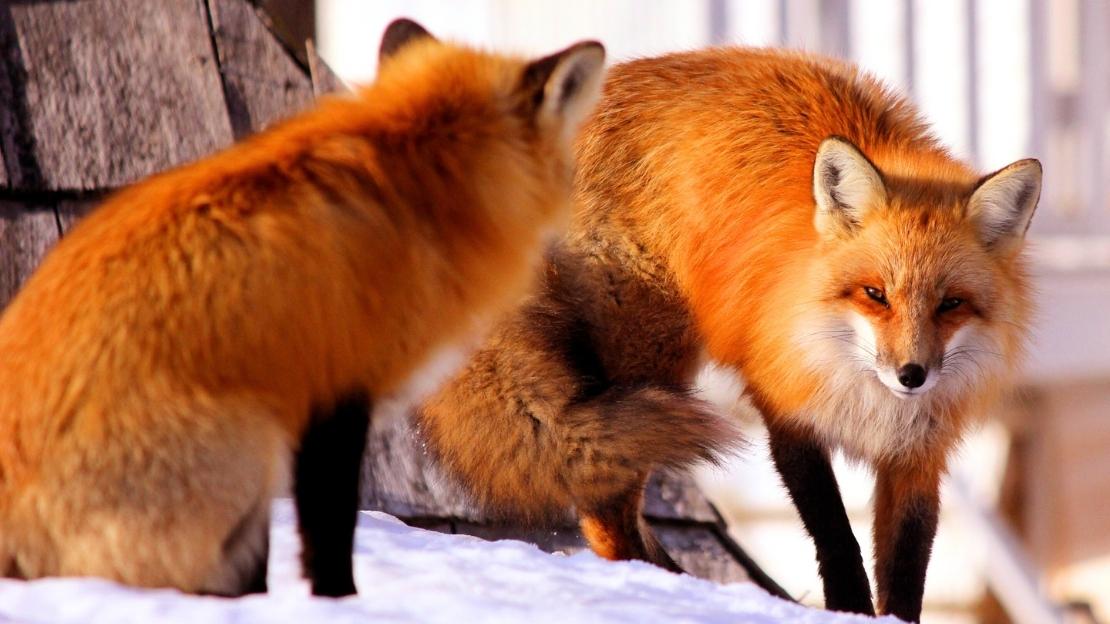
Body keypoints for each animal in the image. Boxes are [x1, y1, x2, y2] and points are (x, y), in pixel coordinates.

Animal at [0, 19, 605, 598]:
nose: (572, 199)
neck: (414, 193)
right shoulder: (336, 391)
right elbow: (330, 536)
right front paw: (341, 604)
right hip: (247, 448)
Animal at [420, 47, 1038, 621]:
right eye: (874, 294)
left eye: (950, 304)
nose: (912, 375)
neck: (862, 391)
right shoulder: (786, 406)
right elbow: (835, 536)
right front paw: (849, 610)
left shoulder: (919, 452)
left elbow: (908, 564)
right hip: (651, 359)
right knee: (603, 507)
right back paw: (665, 589)